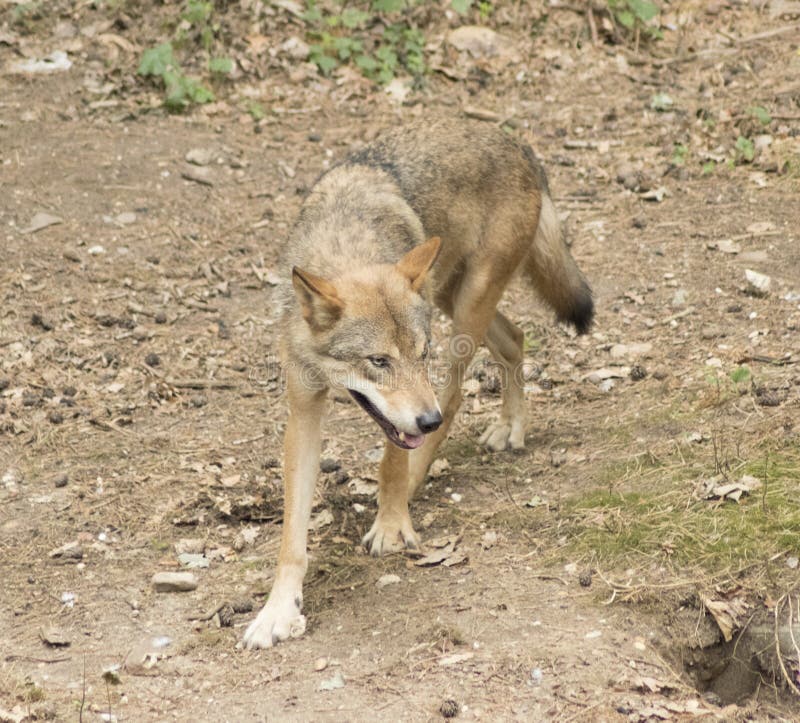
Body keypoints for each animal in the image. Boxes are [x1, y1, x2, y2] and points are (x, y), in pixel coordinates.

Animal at [243, 118, 593, 649]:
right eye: (378, 361)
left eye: (420, 354)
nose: (424, 420)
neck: (347, 242)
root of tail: (517, 143)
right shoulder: (303, 412)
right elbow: (292, 536)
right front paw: (278, 612)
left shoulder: (406, 410)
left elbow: (391, 460)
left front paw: (391, 524)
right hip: (449, 297)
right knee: (515, 339)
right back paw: (508, 426)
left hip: (465, 310)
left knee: (458, 394)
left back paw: (429, 471)